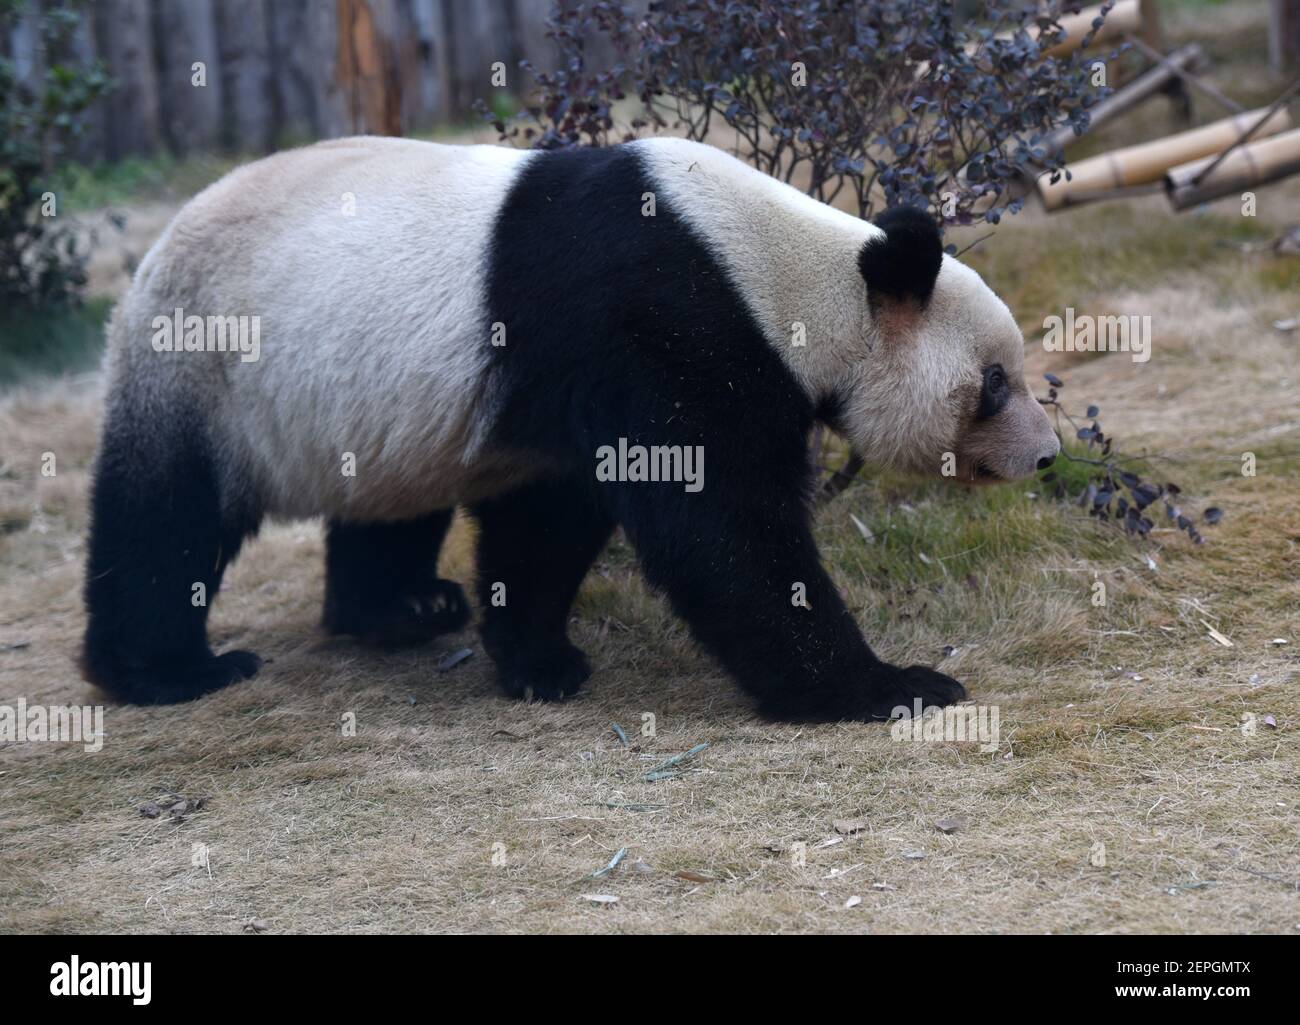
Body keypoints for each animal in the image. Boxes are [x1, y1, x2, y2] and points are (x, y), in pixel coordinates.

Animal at [81, 134, 1059, 721]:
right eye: (994, 383)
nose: (1048, 455)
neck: (787, 270)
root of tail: (152, 255)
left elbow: (549, 519)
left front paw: (537, 660)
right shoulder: (661, 321)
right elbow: (723, 529)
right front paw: (889, 685)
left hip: (376, 400)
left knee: (389, 502)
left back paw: (400, 608)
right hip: (203, 365)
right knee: (164, 518)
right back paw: (166, 671)